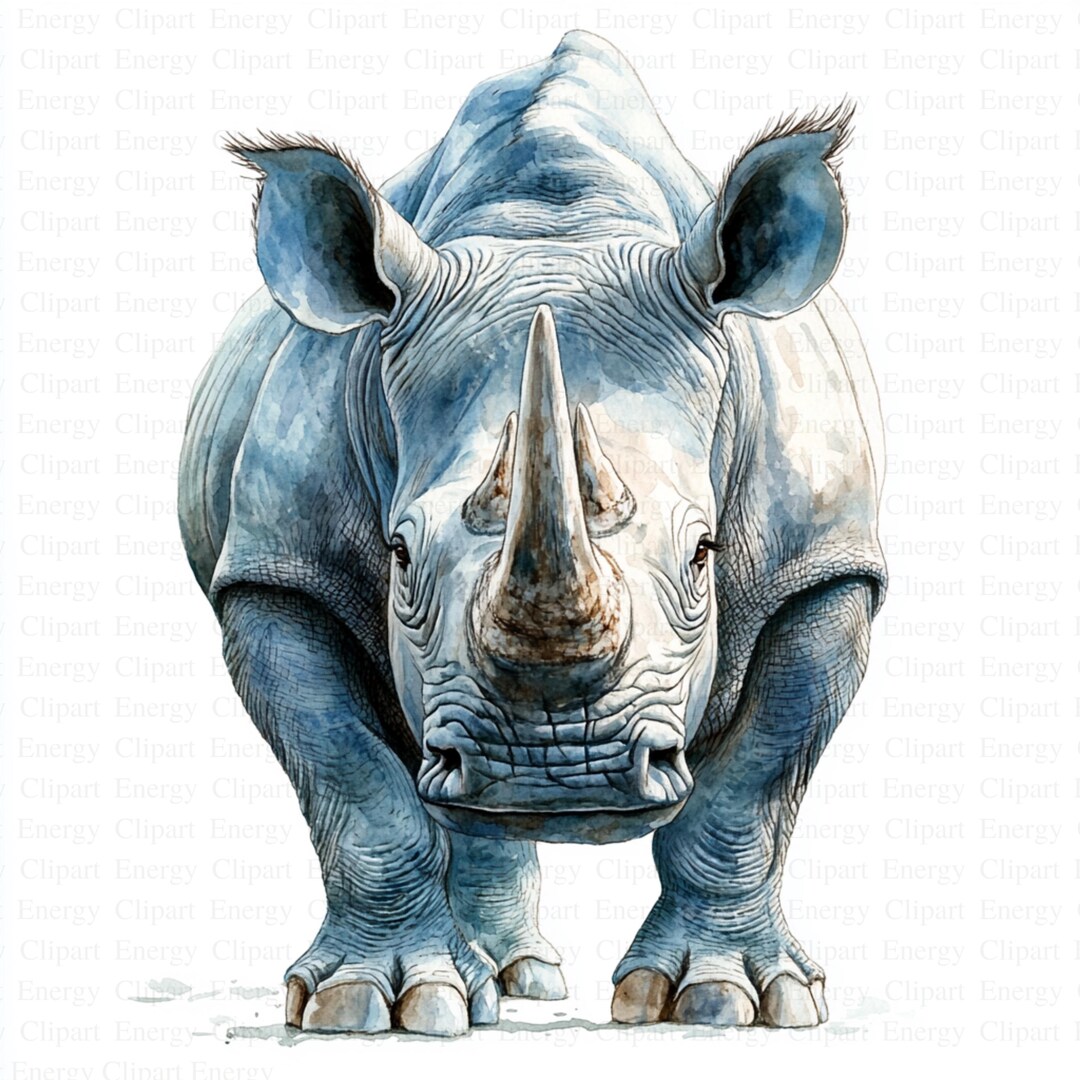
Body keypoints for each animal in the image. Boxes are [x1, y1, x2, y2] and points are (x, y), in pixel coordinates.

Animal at [179, 31, 885, 1037]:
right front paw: (366, 1003)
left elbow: (756, 782)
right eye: (398, 554)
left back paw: (518, 977)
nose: (555, 778)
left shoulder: (824, 563)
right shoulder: (277, 567)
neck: (555, 229)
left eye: (704, 553)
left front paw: (731, 1000)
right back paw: (484, 984)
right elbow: (352, 779)